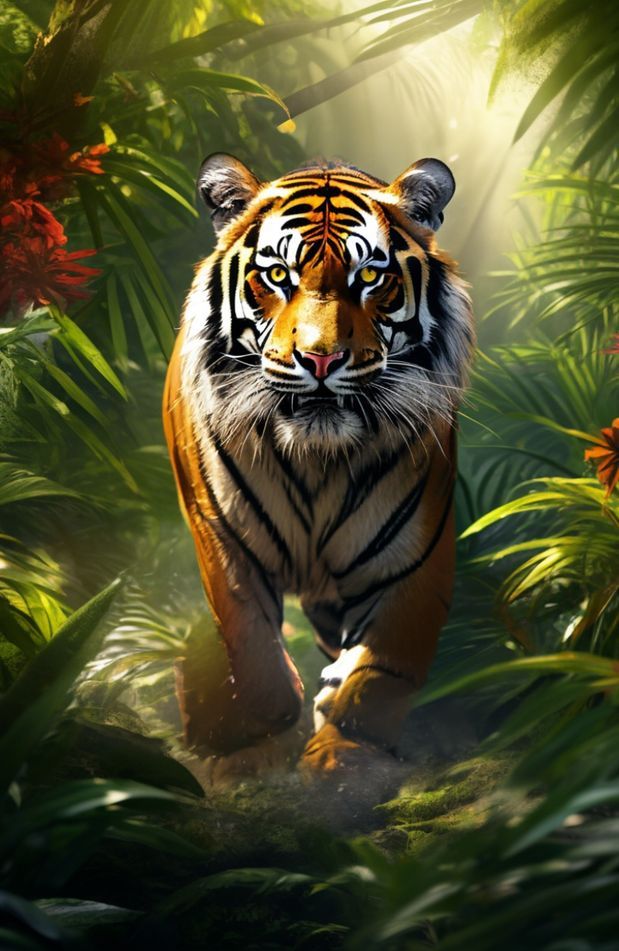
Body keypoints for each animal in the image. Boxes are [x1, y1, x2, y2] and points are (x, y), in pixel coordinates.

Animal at [163, 153, 474, 777]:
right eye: (278, 276)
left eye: (371, 277)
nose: (321, 357)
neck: (317, 459)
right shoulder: (224, 542)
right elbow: (254, 653)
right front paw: (256, 744)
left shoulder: (411, 562)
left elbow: (378, 677)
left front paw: (341, 761)